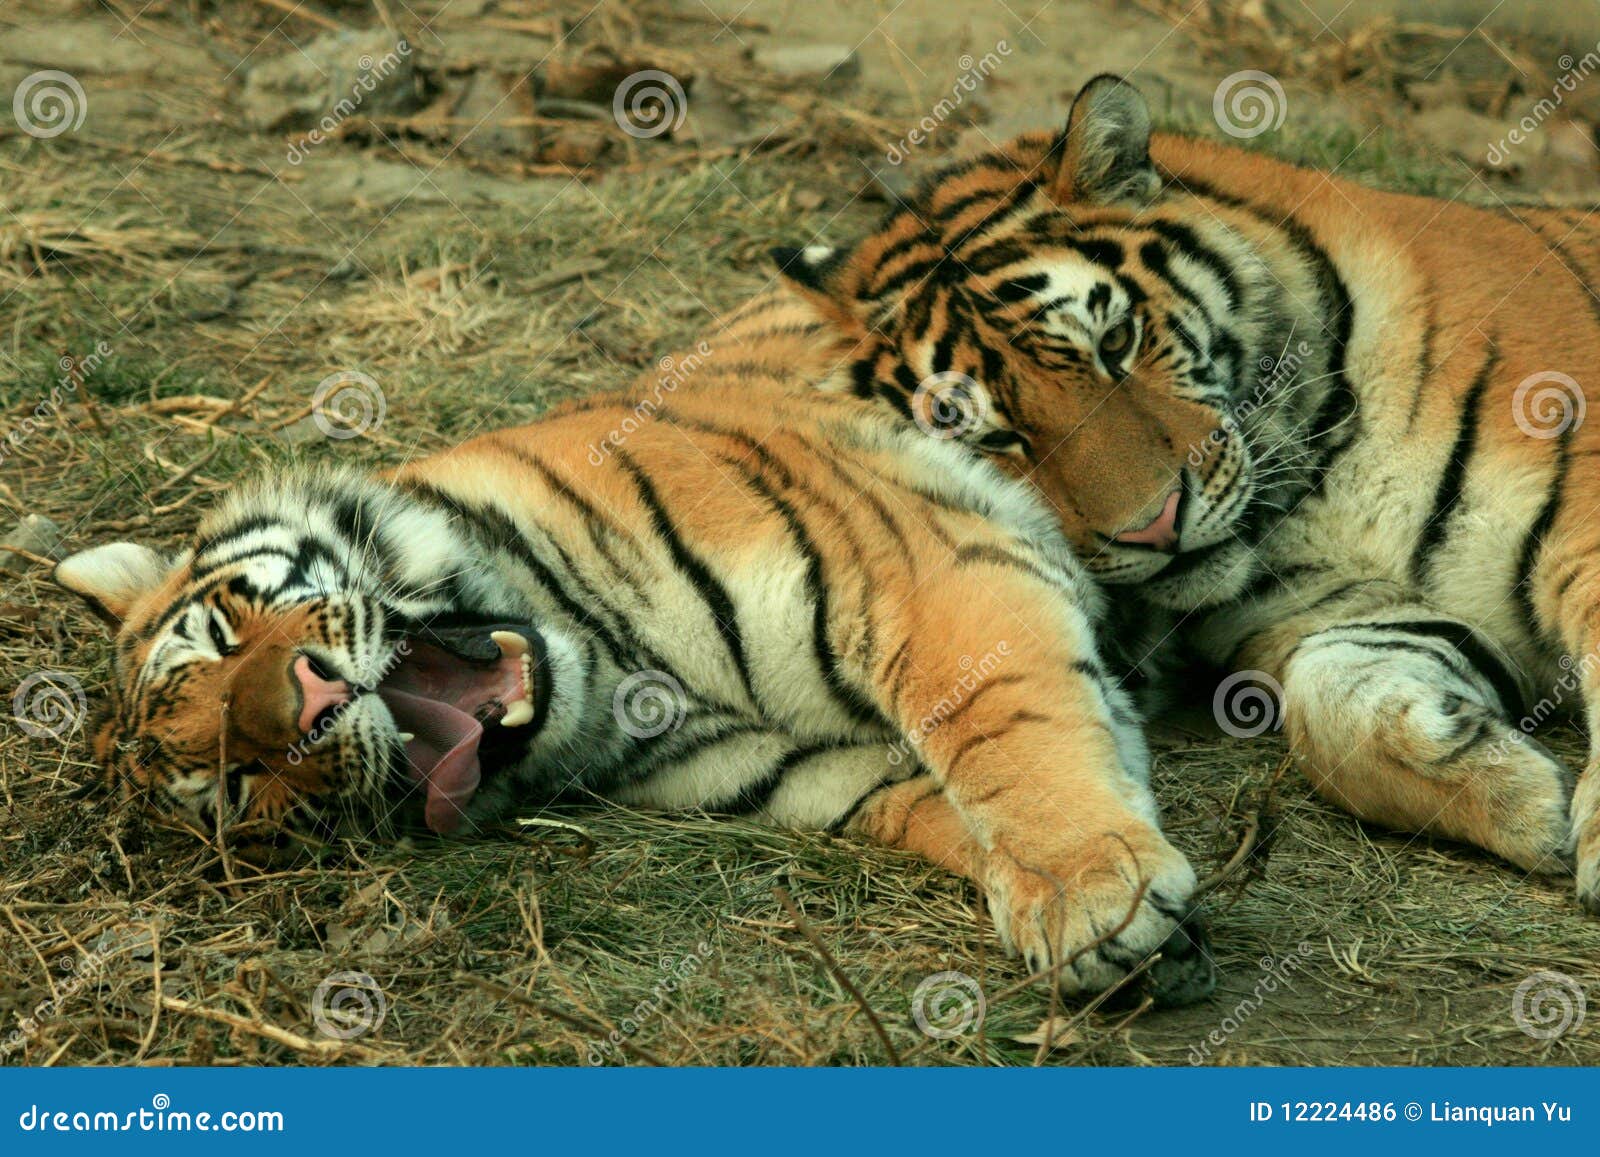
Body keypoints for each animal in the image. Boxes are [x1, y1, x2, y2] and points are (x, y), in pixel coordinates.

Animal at [52, 340, 1215, 1006]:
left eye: (225, 629)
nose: (306, 707)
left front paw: (1087, 890)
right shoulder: (825, 774)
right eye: (236, 781)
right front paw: (1133, 928)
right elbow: (959, 805)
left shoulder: (927, 568)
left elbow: (1006, 730)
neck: (615, 676)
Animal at [742, 72, 1600, 913]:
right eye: (993, 437)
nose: (1154, 527)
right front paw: (1524, 795)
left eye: (1116, 342)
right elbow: (1330, 699)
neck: (1317, 462)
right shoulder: (1345, 610)